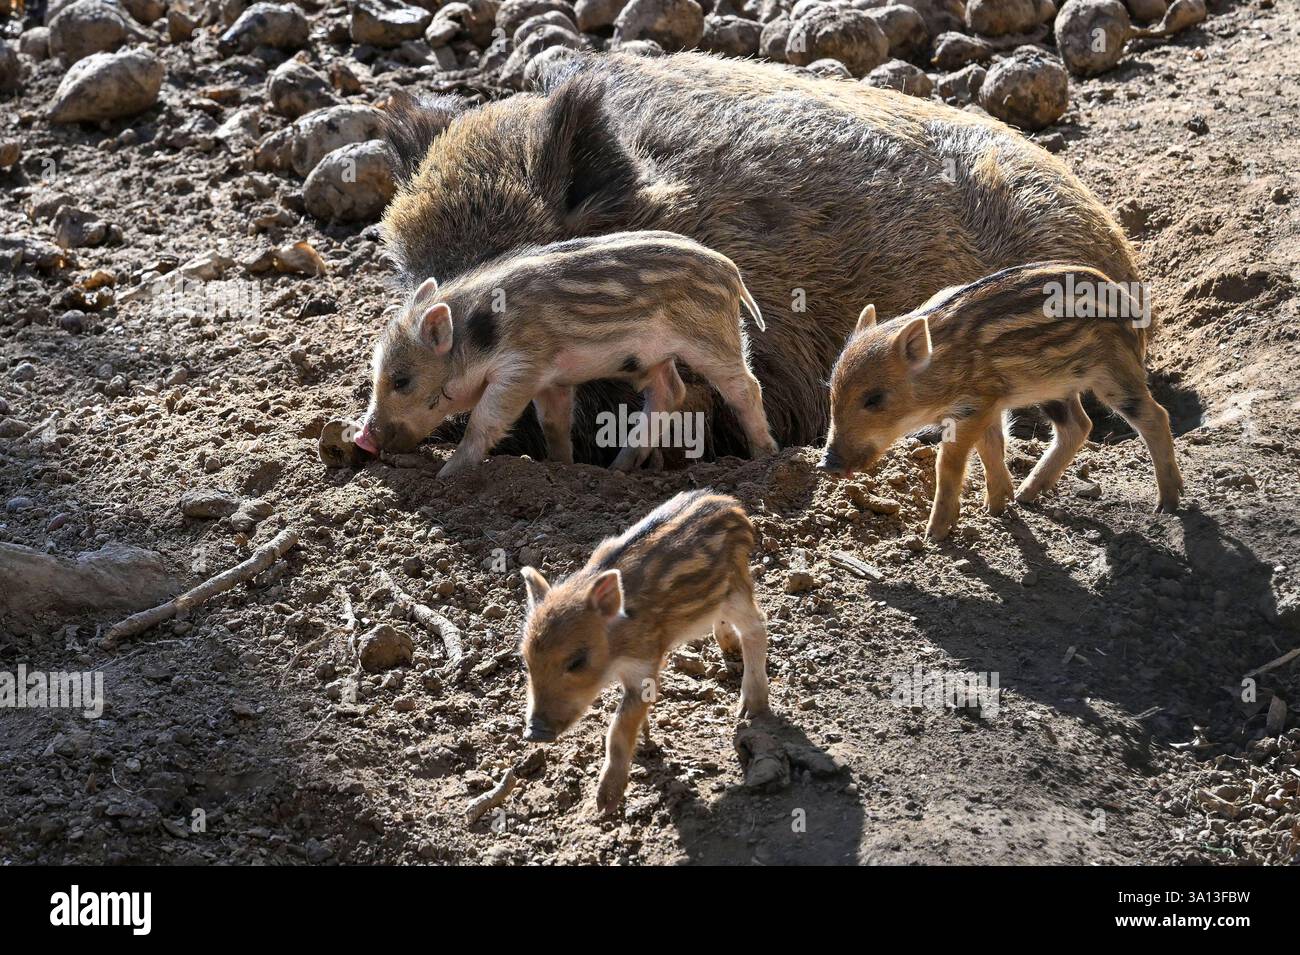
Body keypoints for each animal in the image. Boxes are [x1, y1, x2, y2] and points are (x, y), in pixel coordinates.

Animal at [354, 231, 777, 477]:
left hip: (711, 338)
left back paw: (766, 456)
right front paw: (562, 468)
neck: (478, 339)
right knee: (670, 392)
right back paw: (618, 470)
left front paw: (446, 476)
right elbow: (553, 424)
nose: (361, 438)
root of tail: (731, 272)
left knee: (746, 387)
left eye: (402, 380)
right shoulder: (550, 380)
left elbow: (485, 419)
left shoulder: (521, 367)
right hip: (651, 358)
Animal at [518, 489, 769, 814]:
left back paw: (752, 709)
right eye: (527, 662)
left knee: (757, 626)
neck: (617, 644)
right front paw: (645, 741)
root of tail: (734, 507)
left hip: (736, 589)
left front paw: (606, 802)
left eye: (576, 661)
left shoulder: (645, 663)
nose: (534, 732)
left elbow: (619, 726)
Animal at [819, 262, 1184, 540]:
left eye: (874, 398)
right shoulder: (990, 403)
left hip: (1113, 375)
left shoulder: (973, 405)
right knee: (1079, 427)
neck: (939, 369)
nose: (827, 464)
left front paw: (934, 535)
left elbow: (949, 461)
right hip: (1054, 387)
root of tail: (1130, 303)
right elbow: (991, 446)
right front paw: (996, 507)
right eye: (832, 393)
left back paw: (1166, 504)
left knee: (1156, 416)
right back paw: (1026, 495)